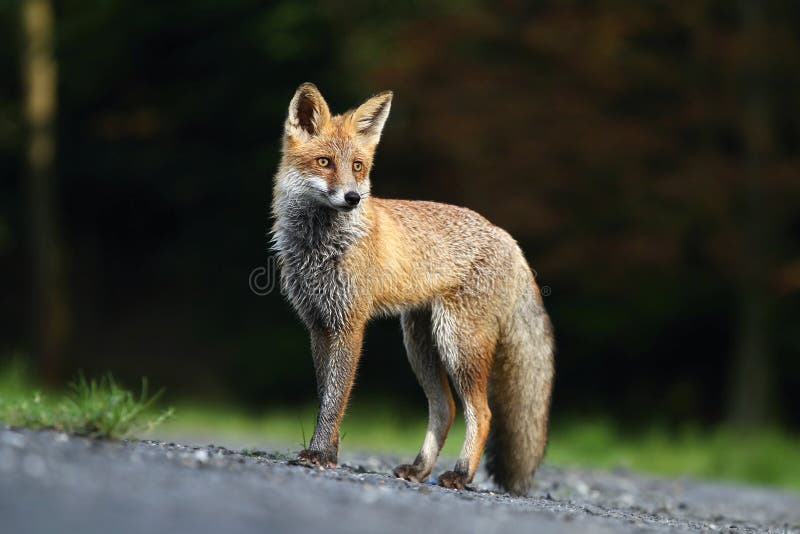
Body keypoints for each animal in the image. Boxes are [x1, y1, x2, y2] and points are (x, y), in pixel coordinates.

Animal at [271, 83, 555, 495]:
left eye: (357, 166)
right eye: (324, 162)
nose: (353, 198)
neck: (320, 247)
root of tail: (507, 237)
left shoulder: (350, 324)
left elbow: (335, 399)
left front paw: (320, 454)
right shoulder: (319, 324)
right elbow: (327, 396)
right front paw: (330, 454)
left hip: (457, 343)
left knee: (482, 412)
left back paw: (459, 475)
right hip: (420, 345)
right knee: (445, 409)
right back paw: (420, 470)